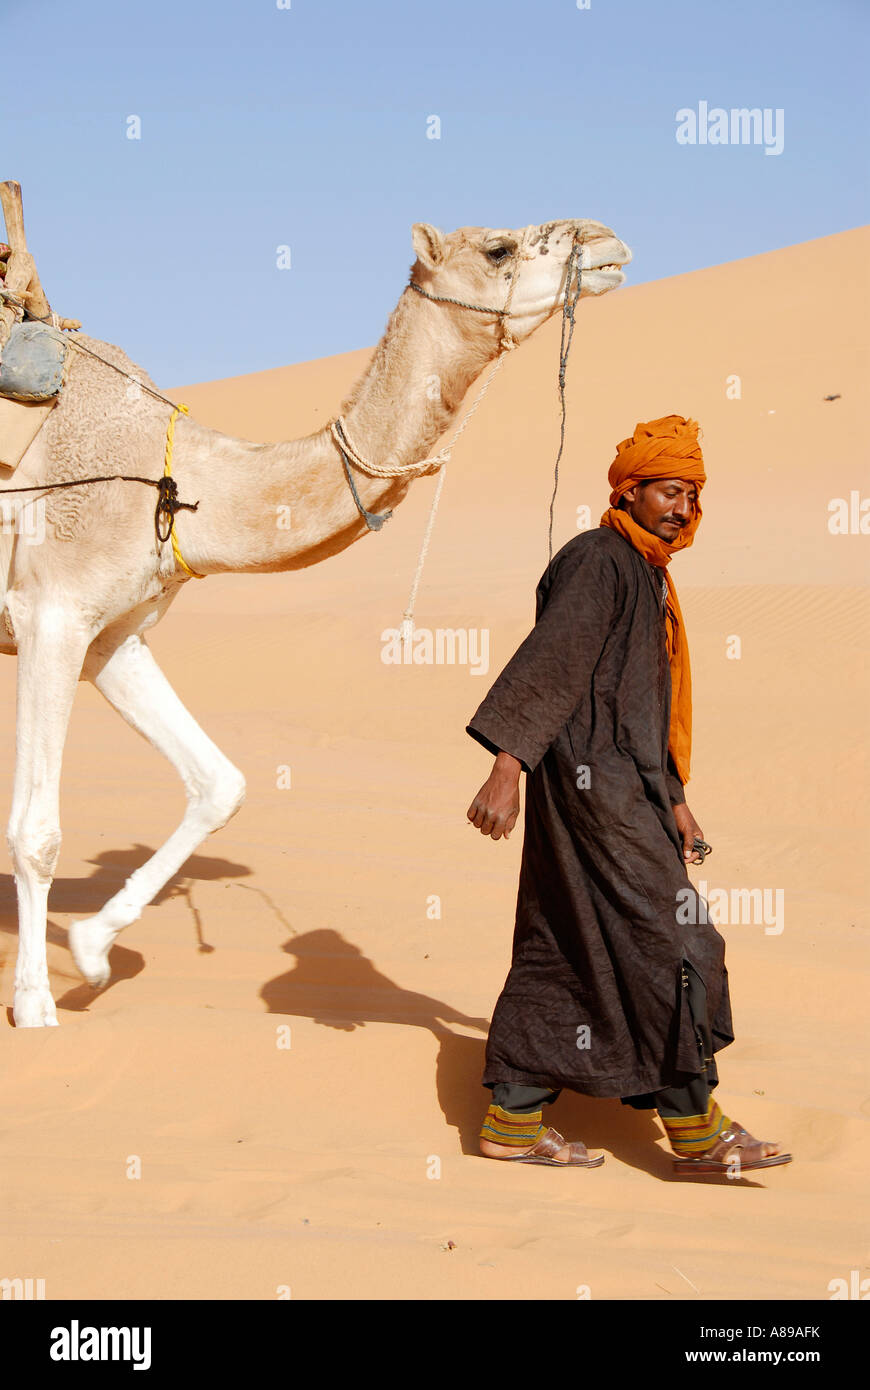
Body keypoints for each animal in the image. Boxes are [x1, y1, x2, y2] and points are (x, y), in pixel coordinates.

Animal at [0, 215, 631, 1027]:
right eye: (498, 249)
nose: (606, 239)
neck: (181, 486)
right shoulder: (50, 614)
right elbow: (36, 831)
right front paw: (35, 1004)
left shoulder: (111, 636)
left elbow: (221, 784)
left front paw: (91, 949)